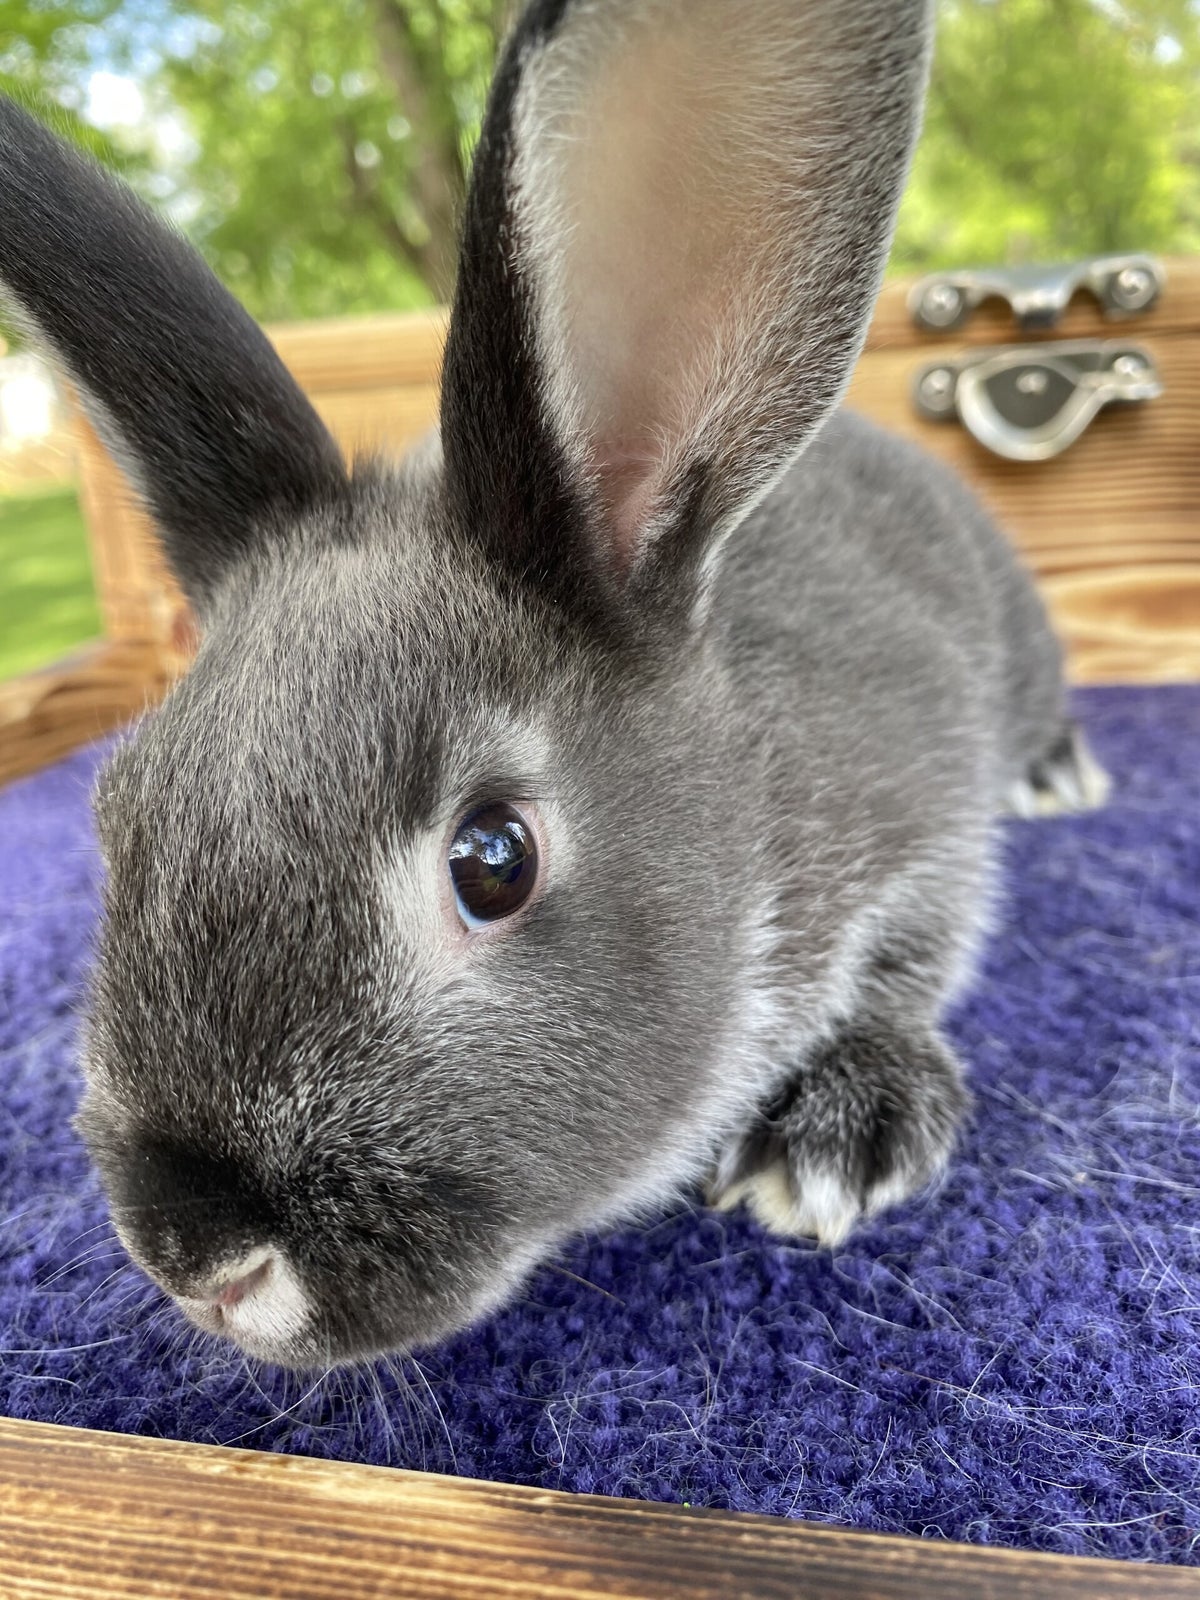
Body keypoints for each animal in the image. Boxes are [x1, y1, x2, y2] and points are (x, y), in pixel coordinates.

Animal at [0, 0, 1107, 1371]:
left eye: (493, 861)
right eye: (118, 822)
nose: (201, 1261)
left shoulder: (919, 802)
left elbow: (925, 947)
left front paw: (842, 1127)